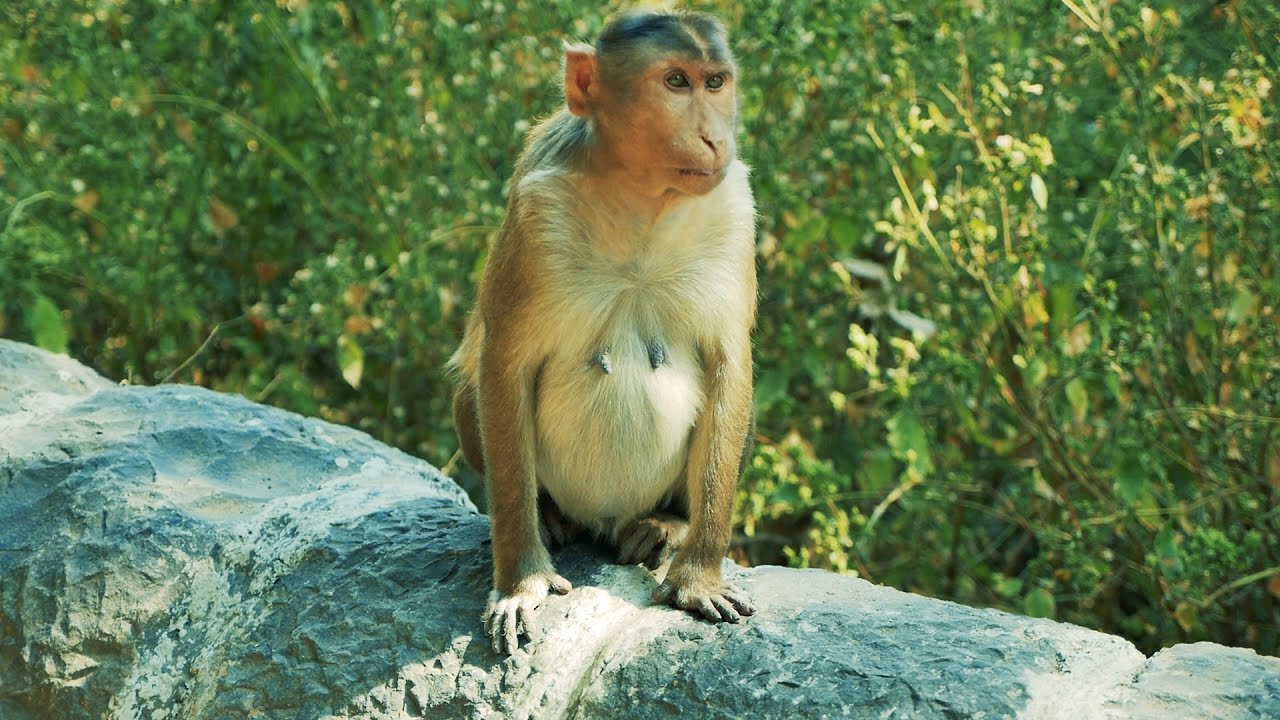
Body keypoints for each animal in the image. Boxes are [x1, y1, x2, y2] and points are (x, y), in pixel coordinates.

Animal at [447, 8, 757, 655]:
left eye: (716, 83)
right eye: (675, 83)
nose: (715, 138)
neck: (643, 201)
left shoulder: (735, 207)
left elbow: (729, 366)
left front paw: (699, 576)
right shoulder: (536, 216)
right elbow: (502, 366)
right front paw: (521, 580)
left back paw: (667, 523)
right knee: (472, 393)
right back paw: (550, 516)